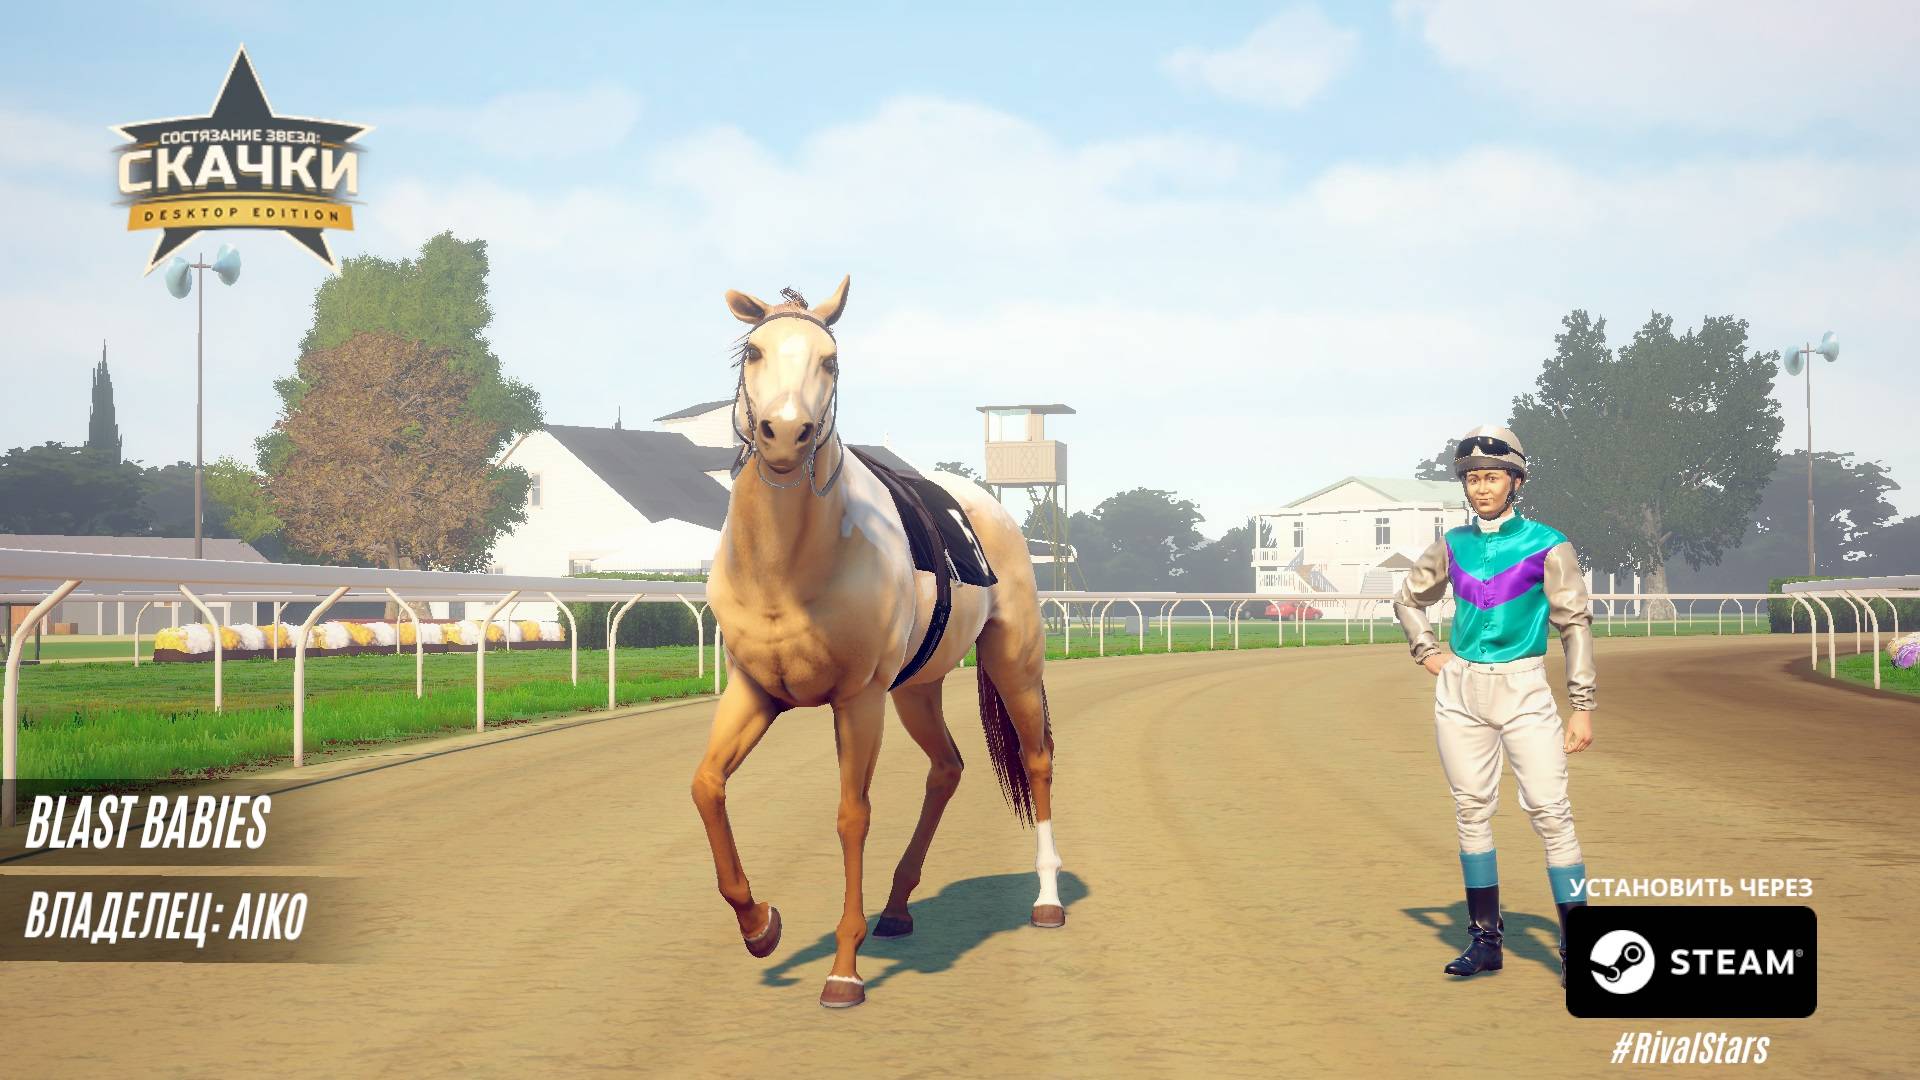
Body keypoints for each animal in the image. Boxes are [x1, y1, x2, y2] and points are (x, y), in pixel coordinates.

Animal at [691, 276, 1064, 1009]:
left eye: (830, 361)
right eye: (754, 352)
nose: (785, 435)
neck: (787, 566)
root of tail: (987, 502)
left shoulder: (857, 699)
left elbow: (851, 816)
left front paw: (843, 968)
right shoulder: (754, 689)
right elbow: (707, 786)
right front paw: (760, 924)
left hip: (1012, 659)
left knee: (1036, 761)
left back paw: (1047, 900)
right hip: (917, 687)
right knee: (946, 767)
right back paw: (896, 907)